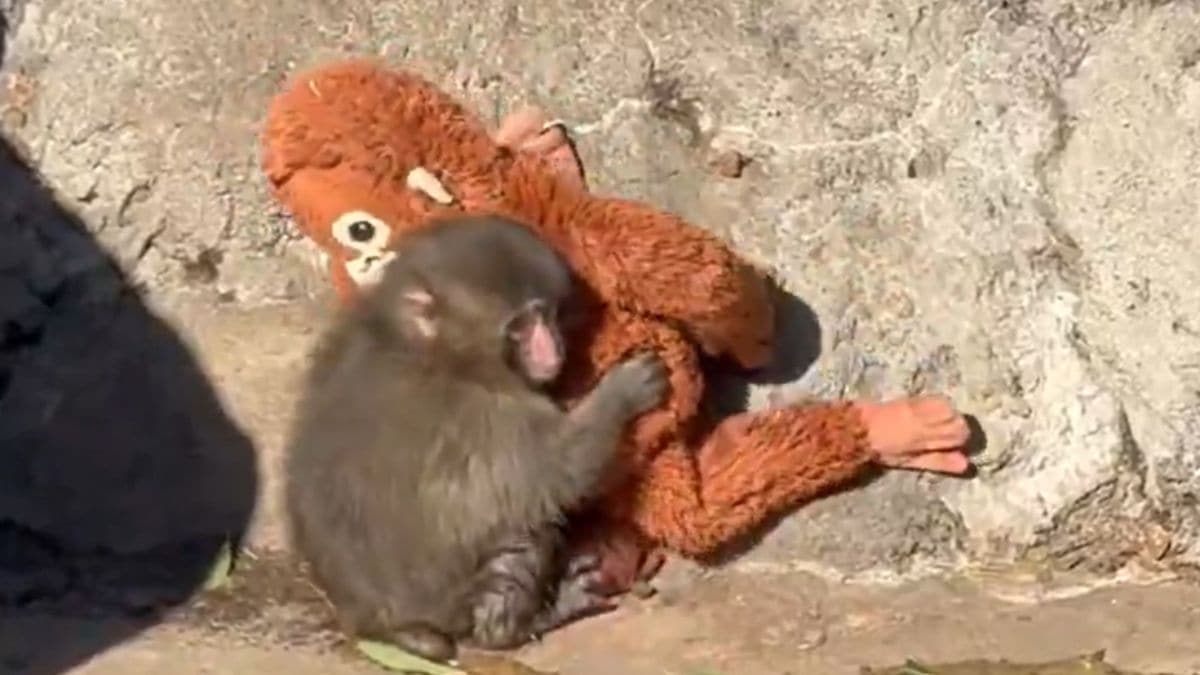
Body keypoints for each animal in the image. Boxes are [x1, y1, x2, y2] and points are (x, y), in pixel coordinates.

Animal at [284, 214, 668, 663]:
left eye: (546, 314)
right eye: (520, 326)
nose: (552, 351)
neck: (429, 350)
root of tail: (376, 624)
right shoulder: (488, 414)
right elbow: (562, 467)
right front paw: (623, 391)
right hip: (452, 601)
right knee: (520, 533)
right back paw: (520, 625)